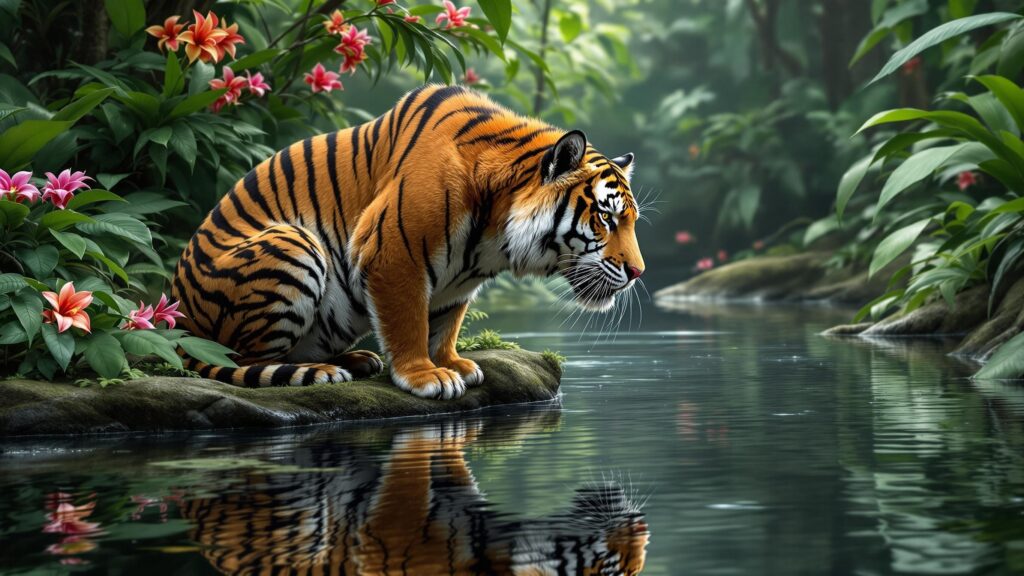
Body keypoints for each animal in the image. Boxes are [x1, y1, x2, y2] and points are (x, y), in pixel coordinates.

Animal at [172, 84, 646, 398]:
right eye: (606, 218)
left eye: (631, 220)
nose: (639, 272)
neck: (494, 234)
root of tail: (179, 319)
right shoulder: (391, 251)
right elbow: (408, 321)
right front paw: (425, 376)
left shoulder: (460, 280)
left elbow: (445, 322)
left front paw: (452, 364)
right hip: (293, 242)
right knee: (244, 361)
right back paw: (323, 372)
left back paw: (354, 361)